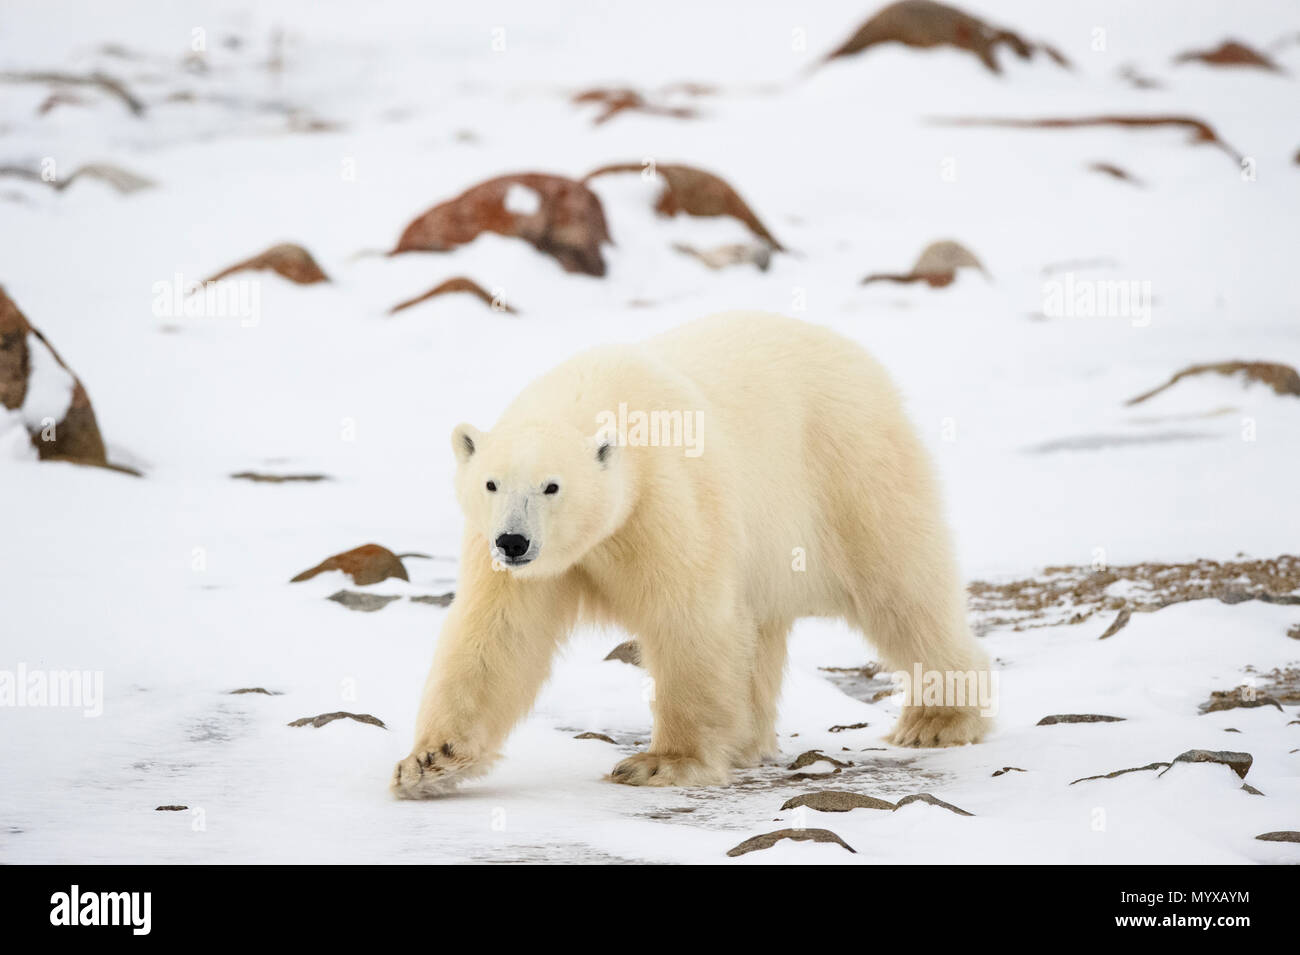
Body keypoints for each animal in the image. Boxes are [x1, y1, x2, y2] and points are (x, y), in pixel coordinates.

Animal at [392, 311, 991, 797]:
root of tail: (858, 357)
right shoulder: (510, 558)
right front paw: (428, 762)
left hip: (849, 469)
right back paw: (748, 740)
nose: (513, 542)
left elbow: (688, 617)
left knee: (901, 586)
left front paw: (661, 762)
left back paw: (938, 718)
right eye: (492, 483)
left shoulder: (664, 500)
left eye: (552, 486)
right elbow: (496, 635)